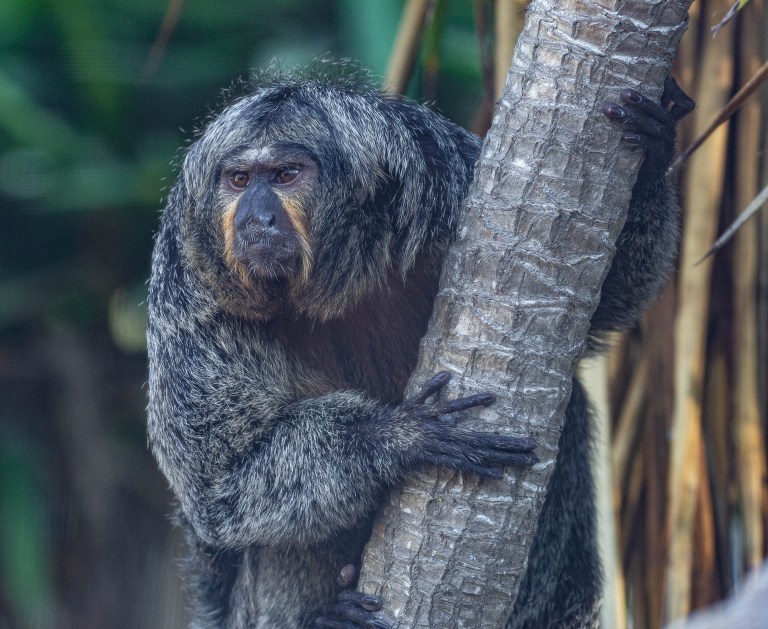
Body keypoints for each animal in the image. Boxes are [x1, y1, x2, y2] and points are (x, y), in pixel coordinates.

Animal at [147, 66, 693, 628]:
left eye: (284, 176)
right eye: (238, 181)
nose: (255, 219)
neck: (346, 275)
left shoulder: (456, 183)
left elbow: (603, 306)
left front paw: (653, 154)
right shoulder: (191, 295)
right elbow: (222, 486)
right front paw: (397, 436)